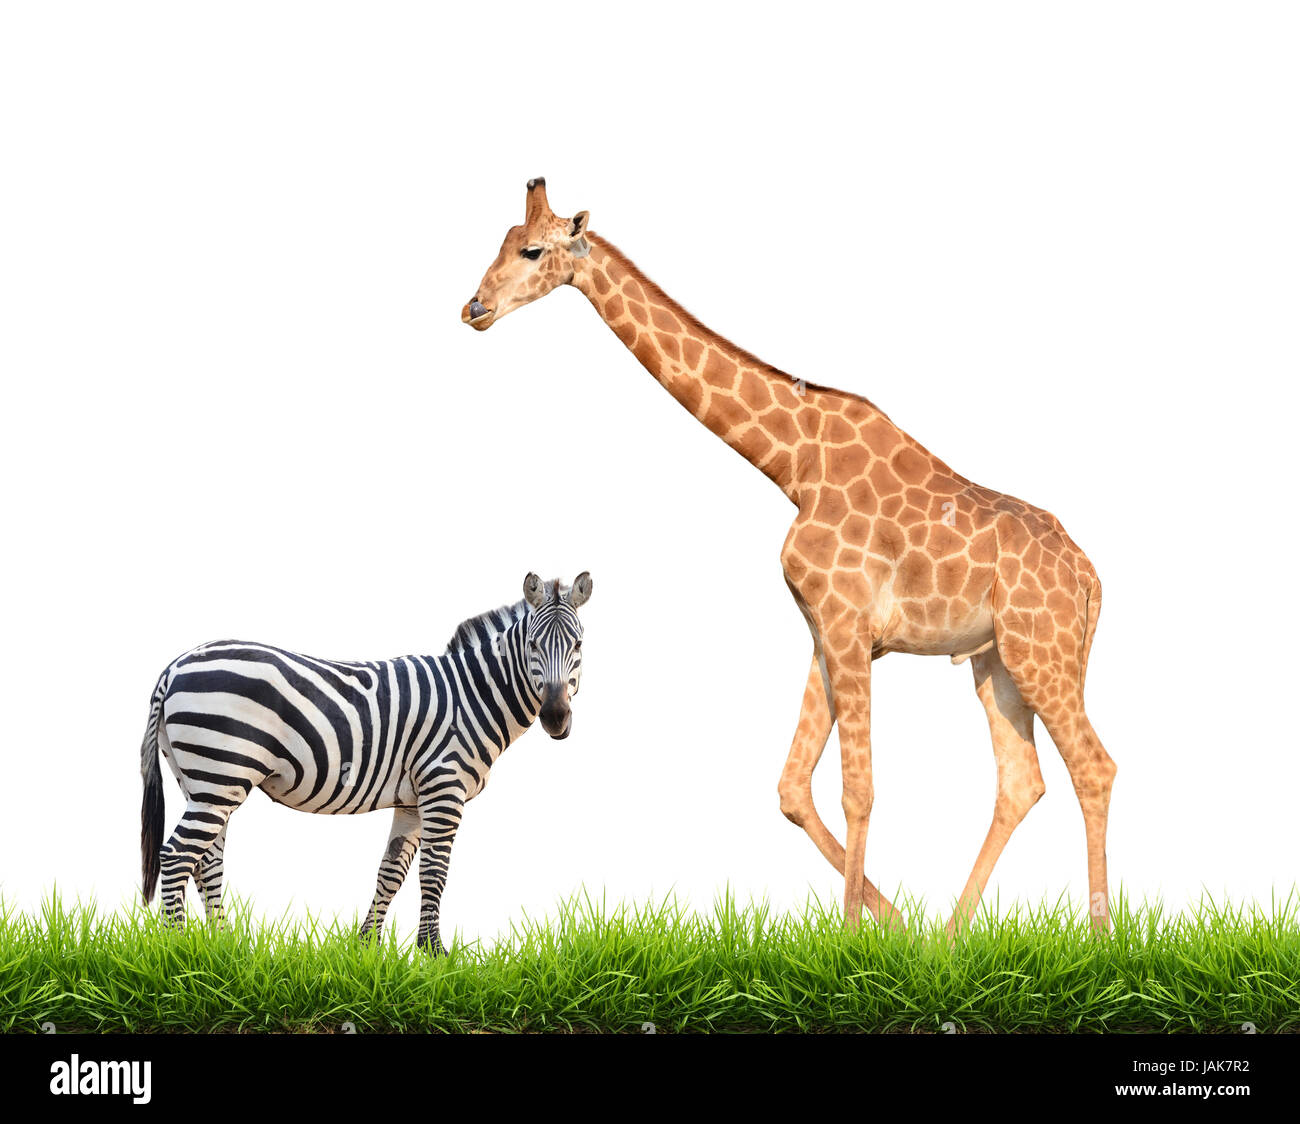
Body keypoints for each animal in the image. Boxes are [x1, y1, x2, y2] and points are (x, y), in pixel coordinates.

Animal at [139, 571, 591, 953]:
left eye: (579, 645)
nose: (556, 717)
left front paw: (366, 949)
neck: (471, 695)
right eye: (533, 645)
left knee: (207, 860)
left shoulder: (413, 799)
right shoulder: (444, 788)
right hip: (221, 774)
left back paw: (224, 948)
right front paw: (436, 956)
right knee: (177, 856)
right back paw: (177, 951)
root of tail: (173, 667)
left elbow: (391, 872)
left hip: (203, 781)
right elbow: (435, 871)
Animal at [462, 178, 1117, 933]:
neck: (793, 462)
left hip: (1042, 651)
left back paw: (1101, 939)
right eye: (503, 241)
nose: (473, 308)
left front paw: (856, 942)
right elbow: (793, 788)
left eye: (533, 251)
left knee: (1093, 767)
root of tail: (1091, 577)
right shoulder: (827, 629)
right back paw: (950, 939)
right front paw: (894, 930)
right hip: (995, 661)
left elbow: (857, 788)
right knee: (1022, 780)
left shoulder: (848, 623)